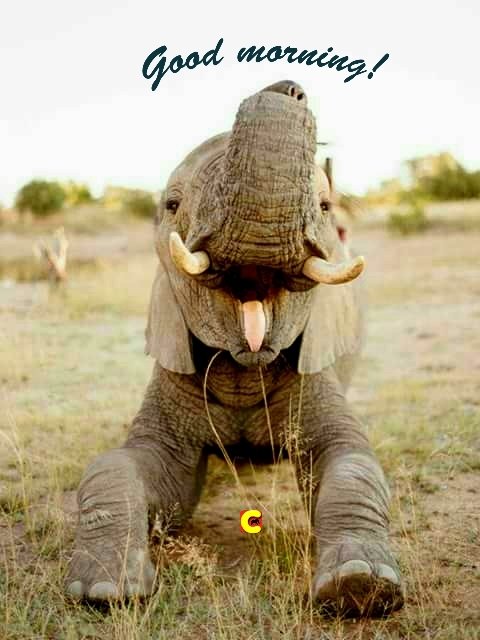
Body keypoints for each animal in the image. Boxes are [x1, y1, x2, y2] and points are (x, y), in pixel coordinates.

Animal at [65, 80, 404, 617]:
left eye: (324, 208)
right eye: (172, 205)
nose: (287, 87)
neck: (248, 360)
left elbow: (350, 461)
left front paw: (360, 586)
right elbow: (134, 470)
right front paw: (103, 590)